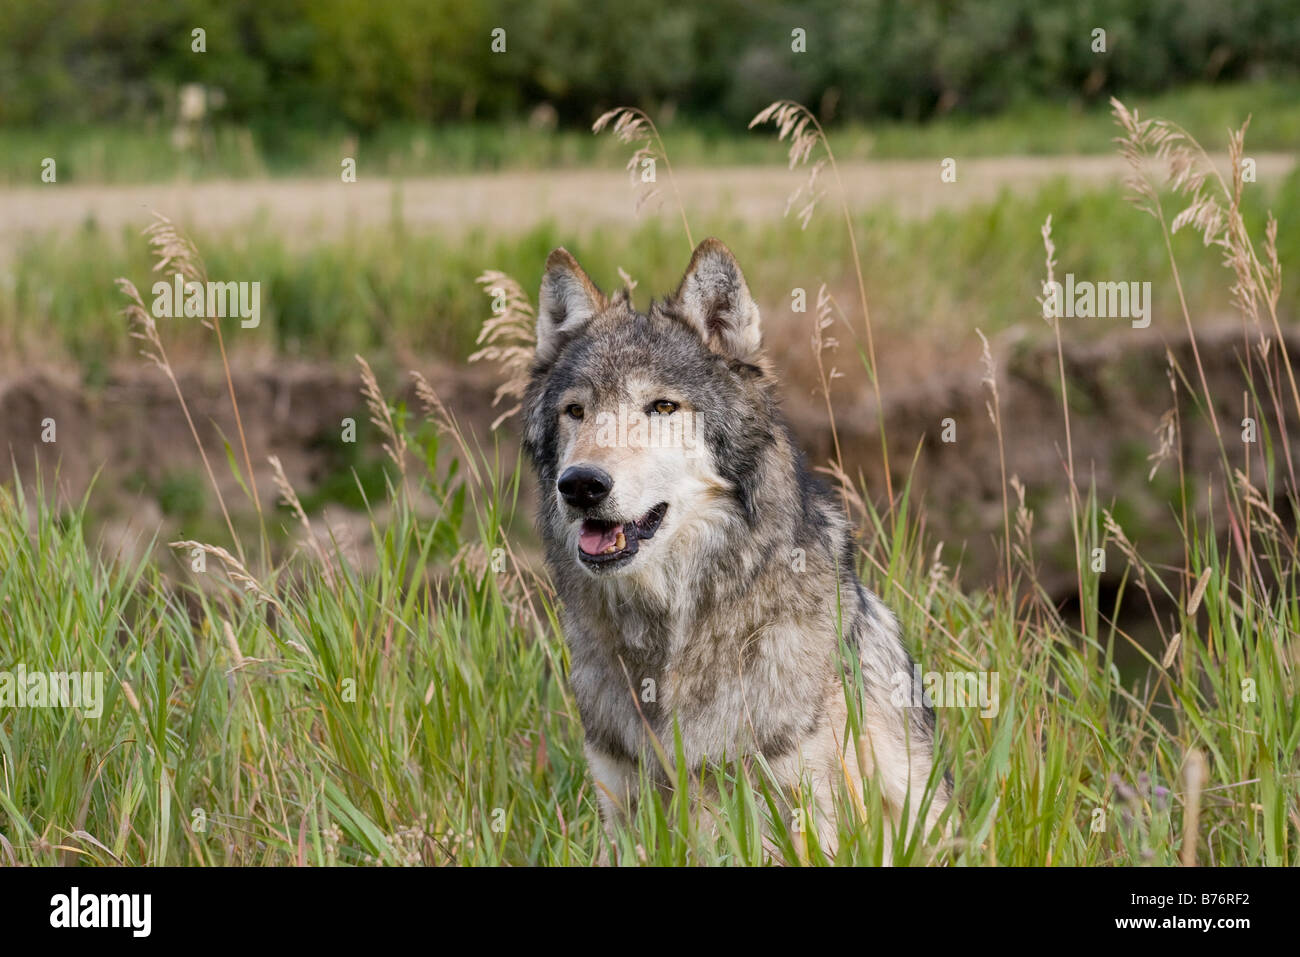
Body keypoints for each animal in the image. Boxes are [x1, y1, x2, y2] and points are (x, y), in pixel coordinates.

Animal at [521, 238, 950, 857]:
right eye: (576, 411)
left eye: (662, 408)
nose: (580, 484)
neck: (674, 637)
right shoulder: (620, 805)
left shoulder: (805, 807)